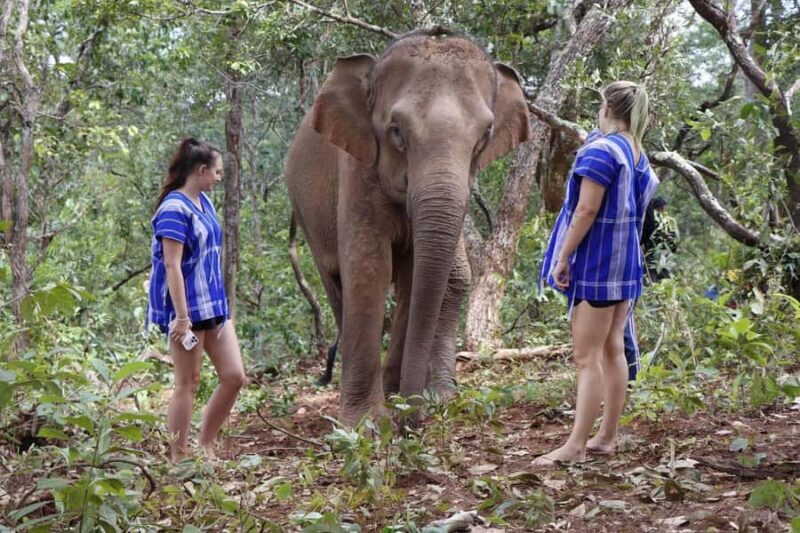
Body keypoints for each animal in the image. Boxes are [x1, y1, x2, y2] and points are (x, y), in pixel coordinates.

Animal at [284, 28, 530, 426]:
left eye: (485, 135)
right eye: (396, 131)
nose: (412, 419)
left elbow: (416, 273)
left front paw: (399, 405)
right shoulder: (358, 168)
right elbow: (369, 268)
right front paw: (367, 424)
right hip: (305, 213)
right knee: (335, 283)